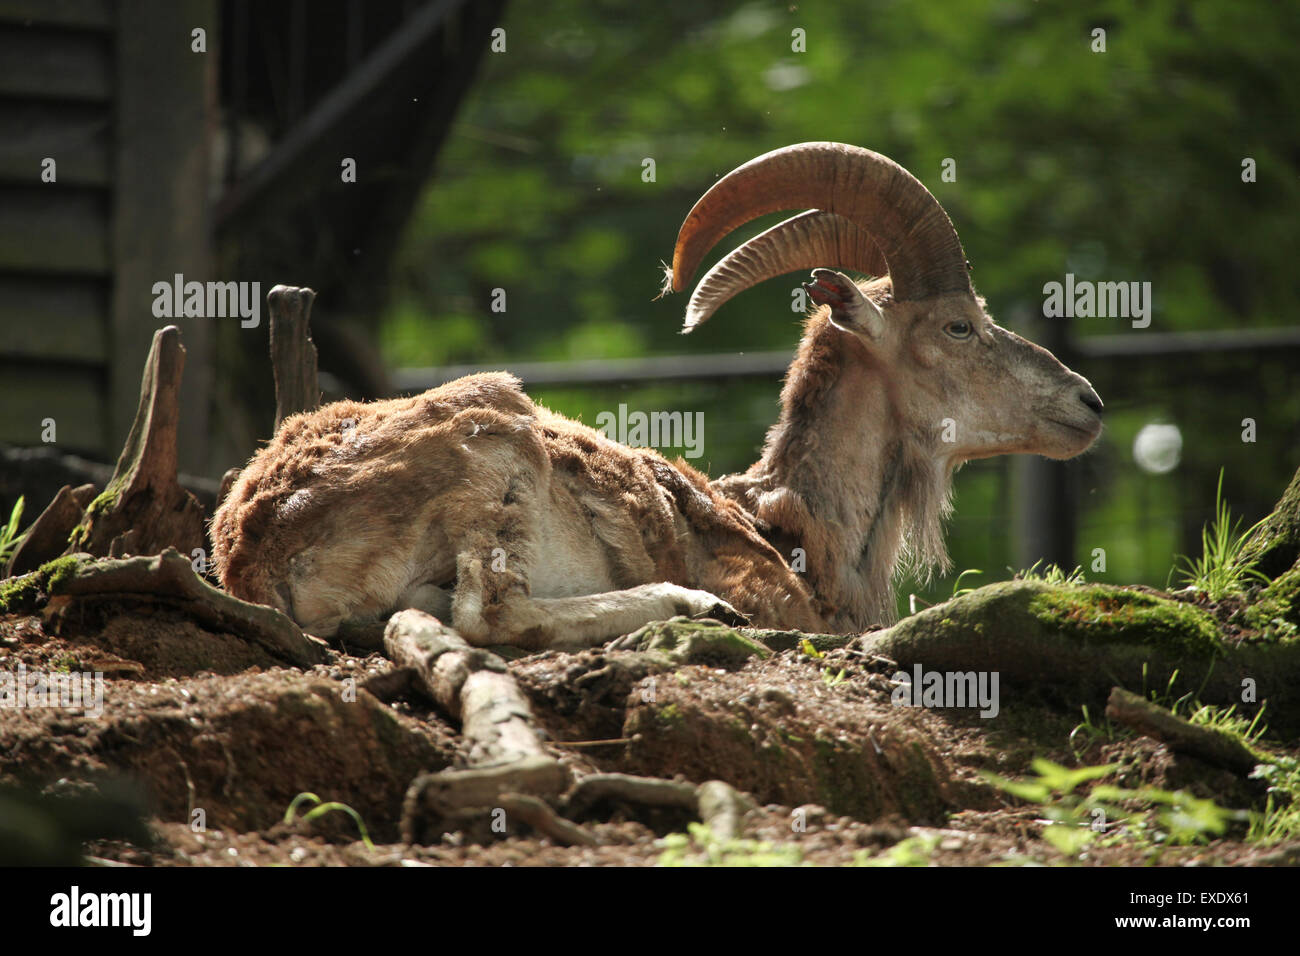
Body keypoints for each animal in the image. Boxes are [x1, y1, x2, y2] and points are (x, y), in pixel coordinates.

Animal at [211, 142, 1103, 648]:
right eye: (959, 326)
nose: (1087, 404)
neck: (791, 526)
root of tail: (255, 541)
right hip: (497, 453)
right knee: (490, 613)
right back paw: (690, 604)